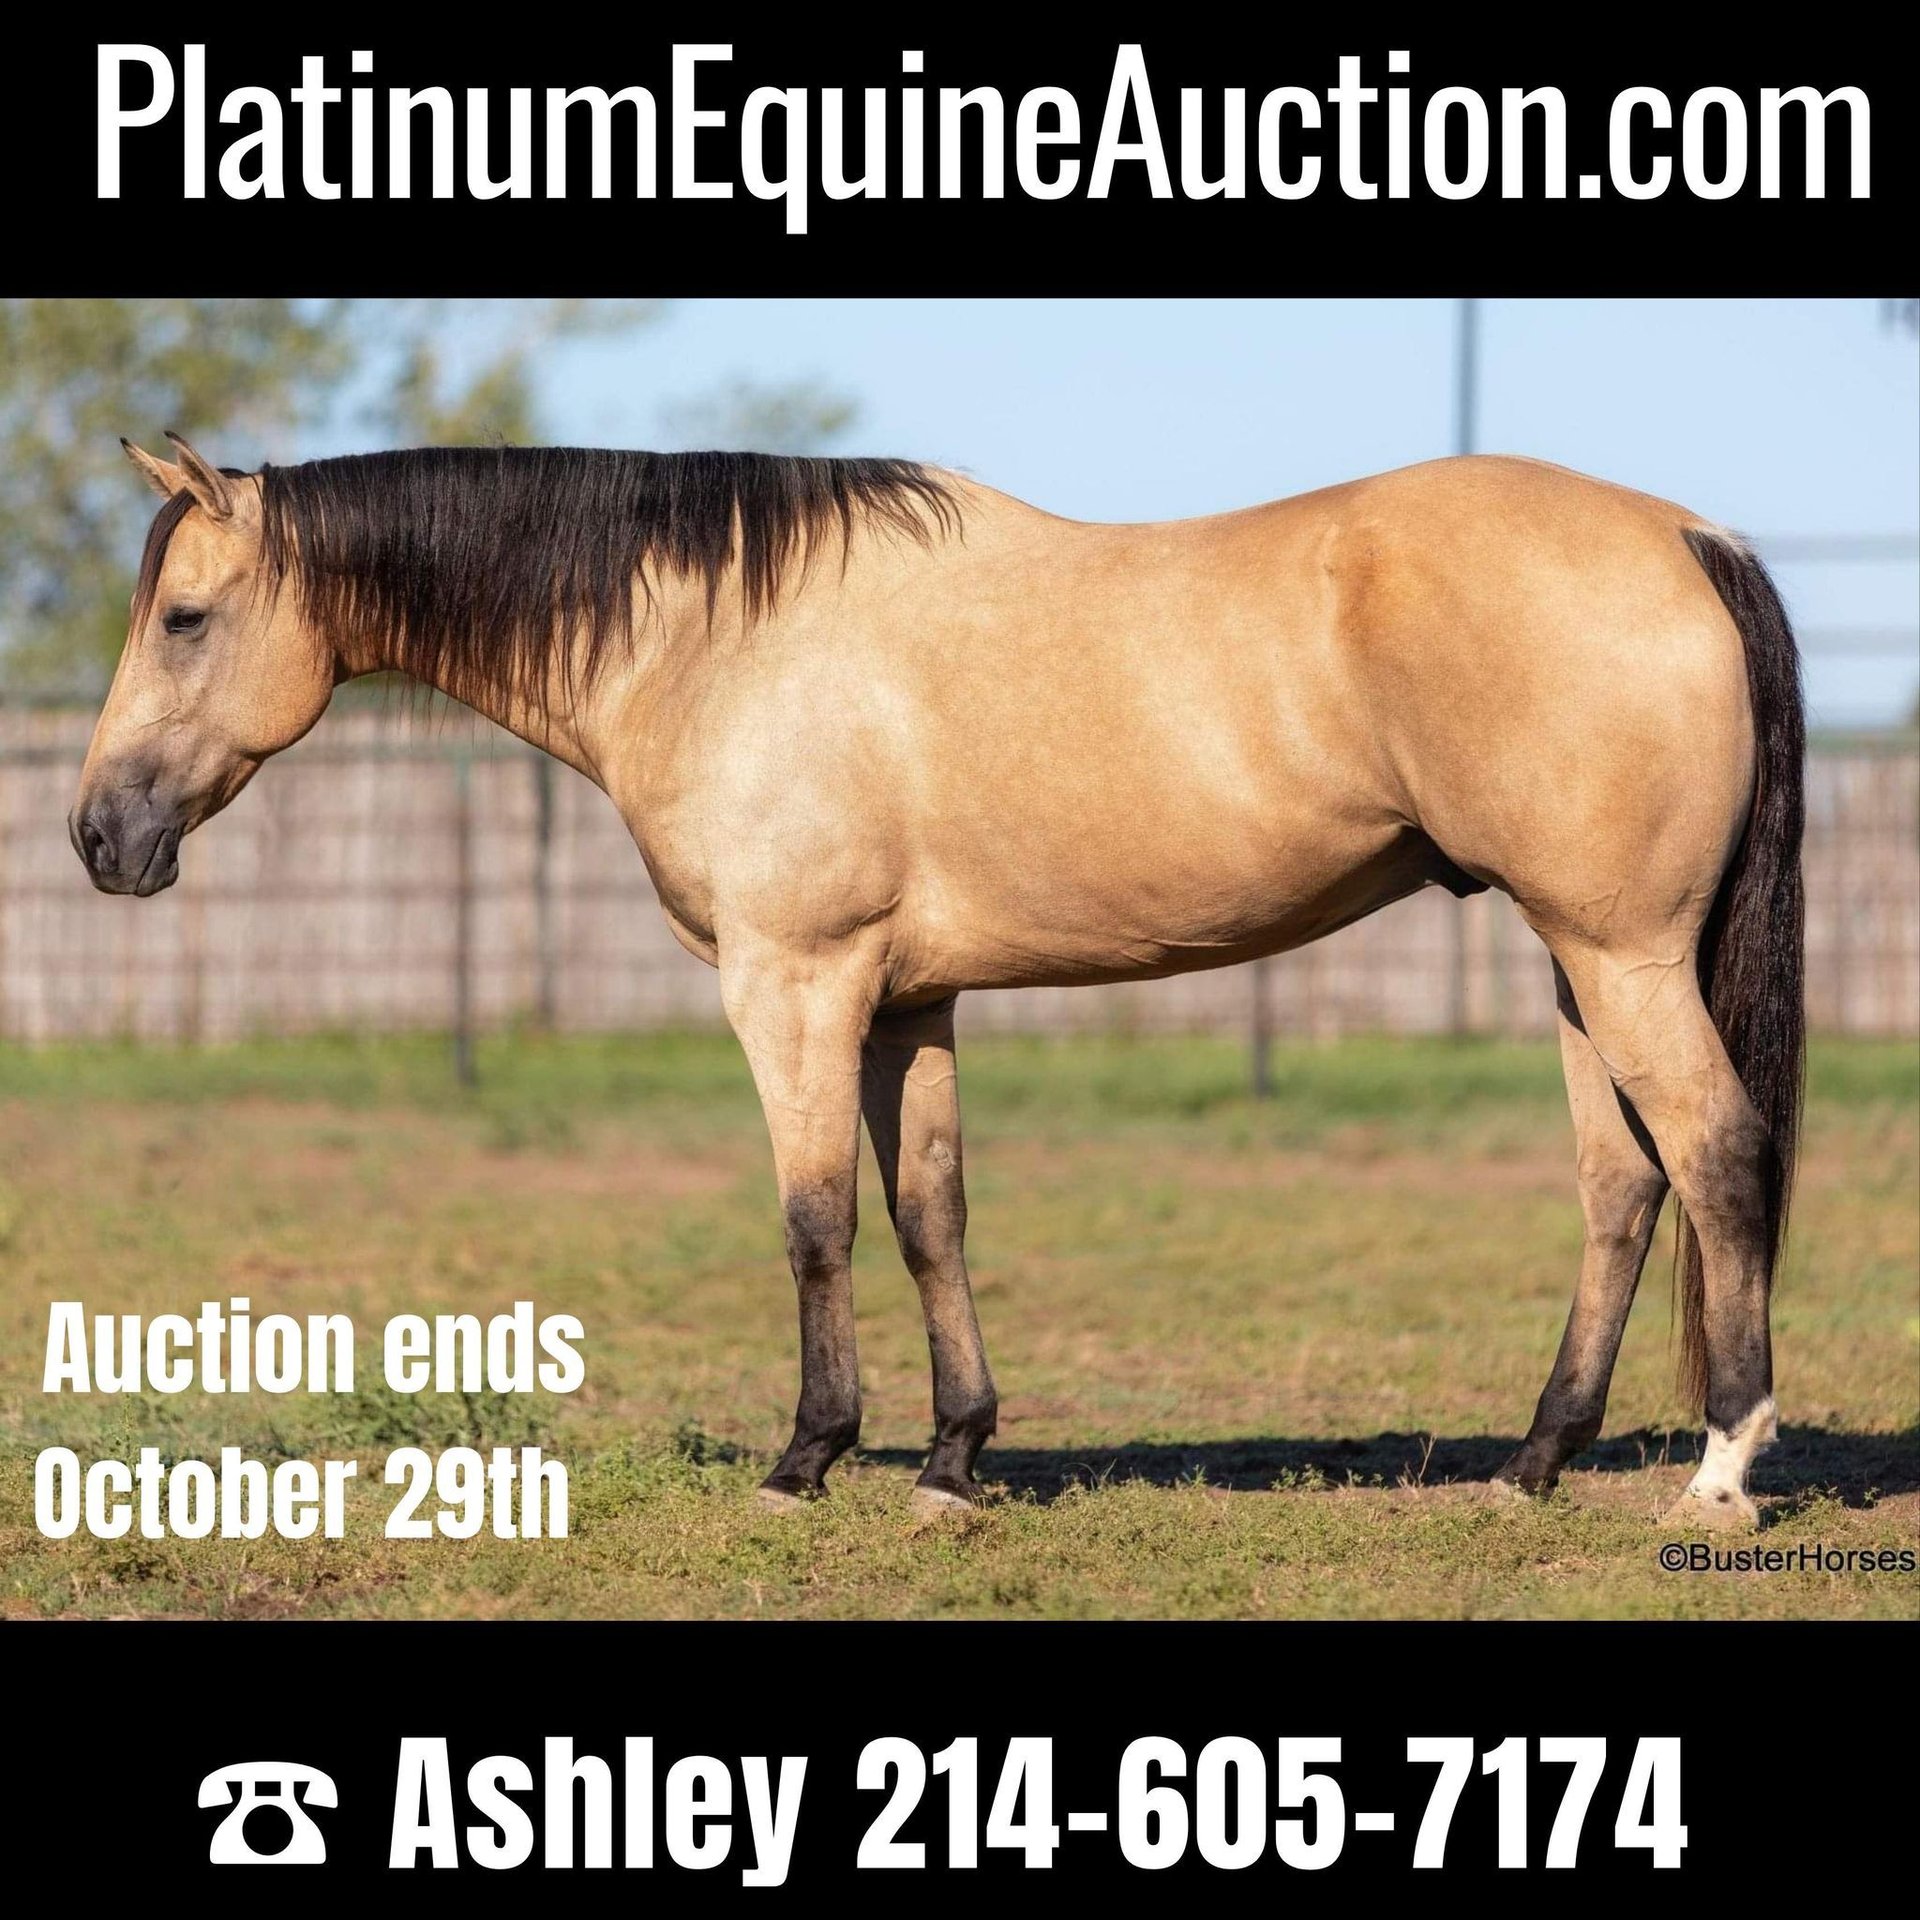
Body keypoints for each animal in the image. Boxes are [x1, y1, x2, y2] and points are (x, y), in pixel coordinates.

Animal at [74, 434, 1804, 1528]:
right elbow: (930, 1215)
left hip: (1622, 957)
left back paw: (1719, 1475)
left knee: (1716, 1154)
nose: (100, 836)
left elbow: (816, 1219)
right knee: (1622, 1187)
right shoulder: (907, 1004)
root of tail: (1690, 536)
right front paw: (953, 1460)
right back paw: (1532, 1462)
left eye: (185, 616)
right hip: (1578, 961)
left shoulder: (796, 985)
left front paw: (806, 1459)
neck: (718, 641)